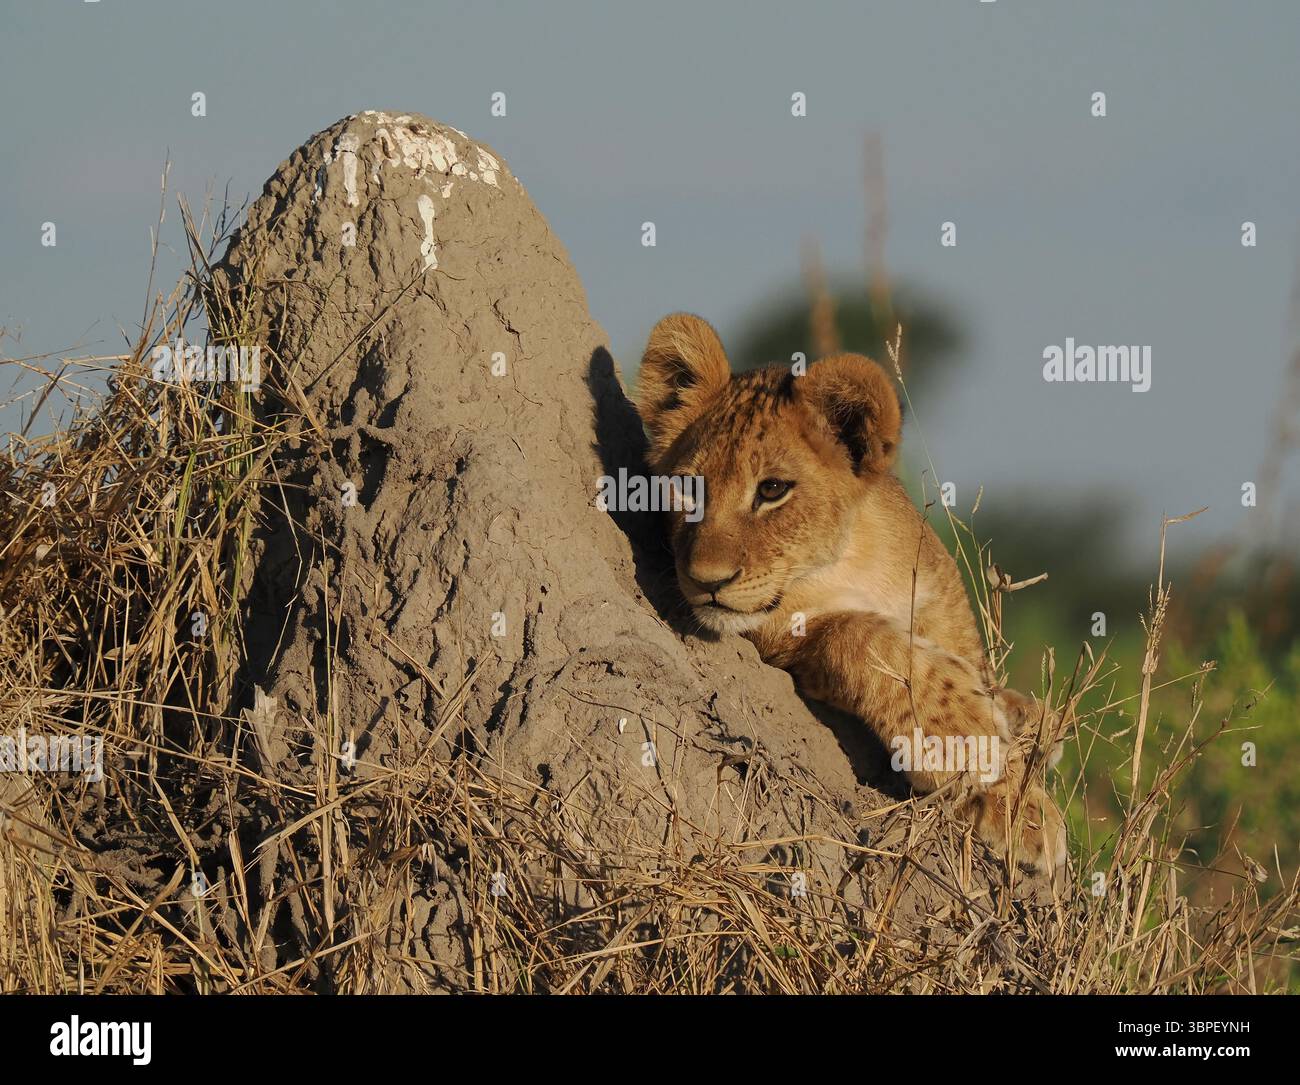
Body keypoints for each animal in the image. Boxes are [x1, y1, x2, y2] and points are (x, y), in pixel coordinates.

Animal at [635, 312, 1068, 878]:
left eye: (772, 490)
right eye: (688, 489)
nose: (706, 581)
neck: (850, 561)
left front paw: (1021, 798)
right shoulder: (779, 639)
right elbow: (856, 634)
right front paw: (967, 743)